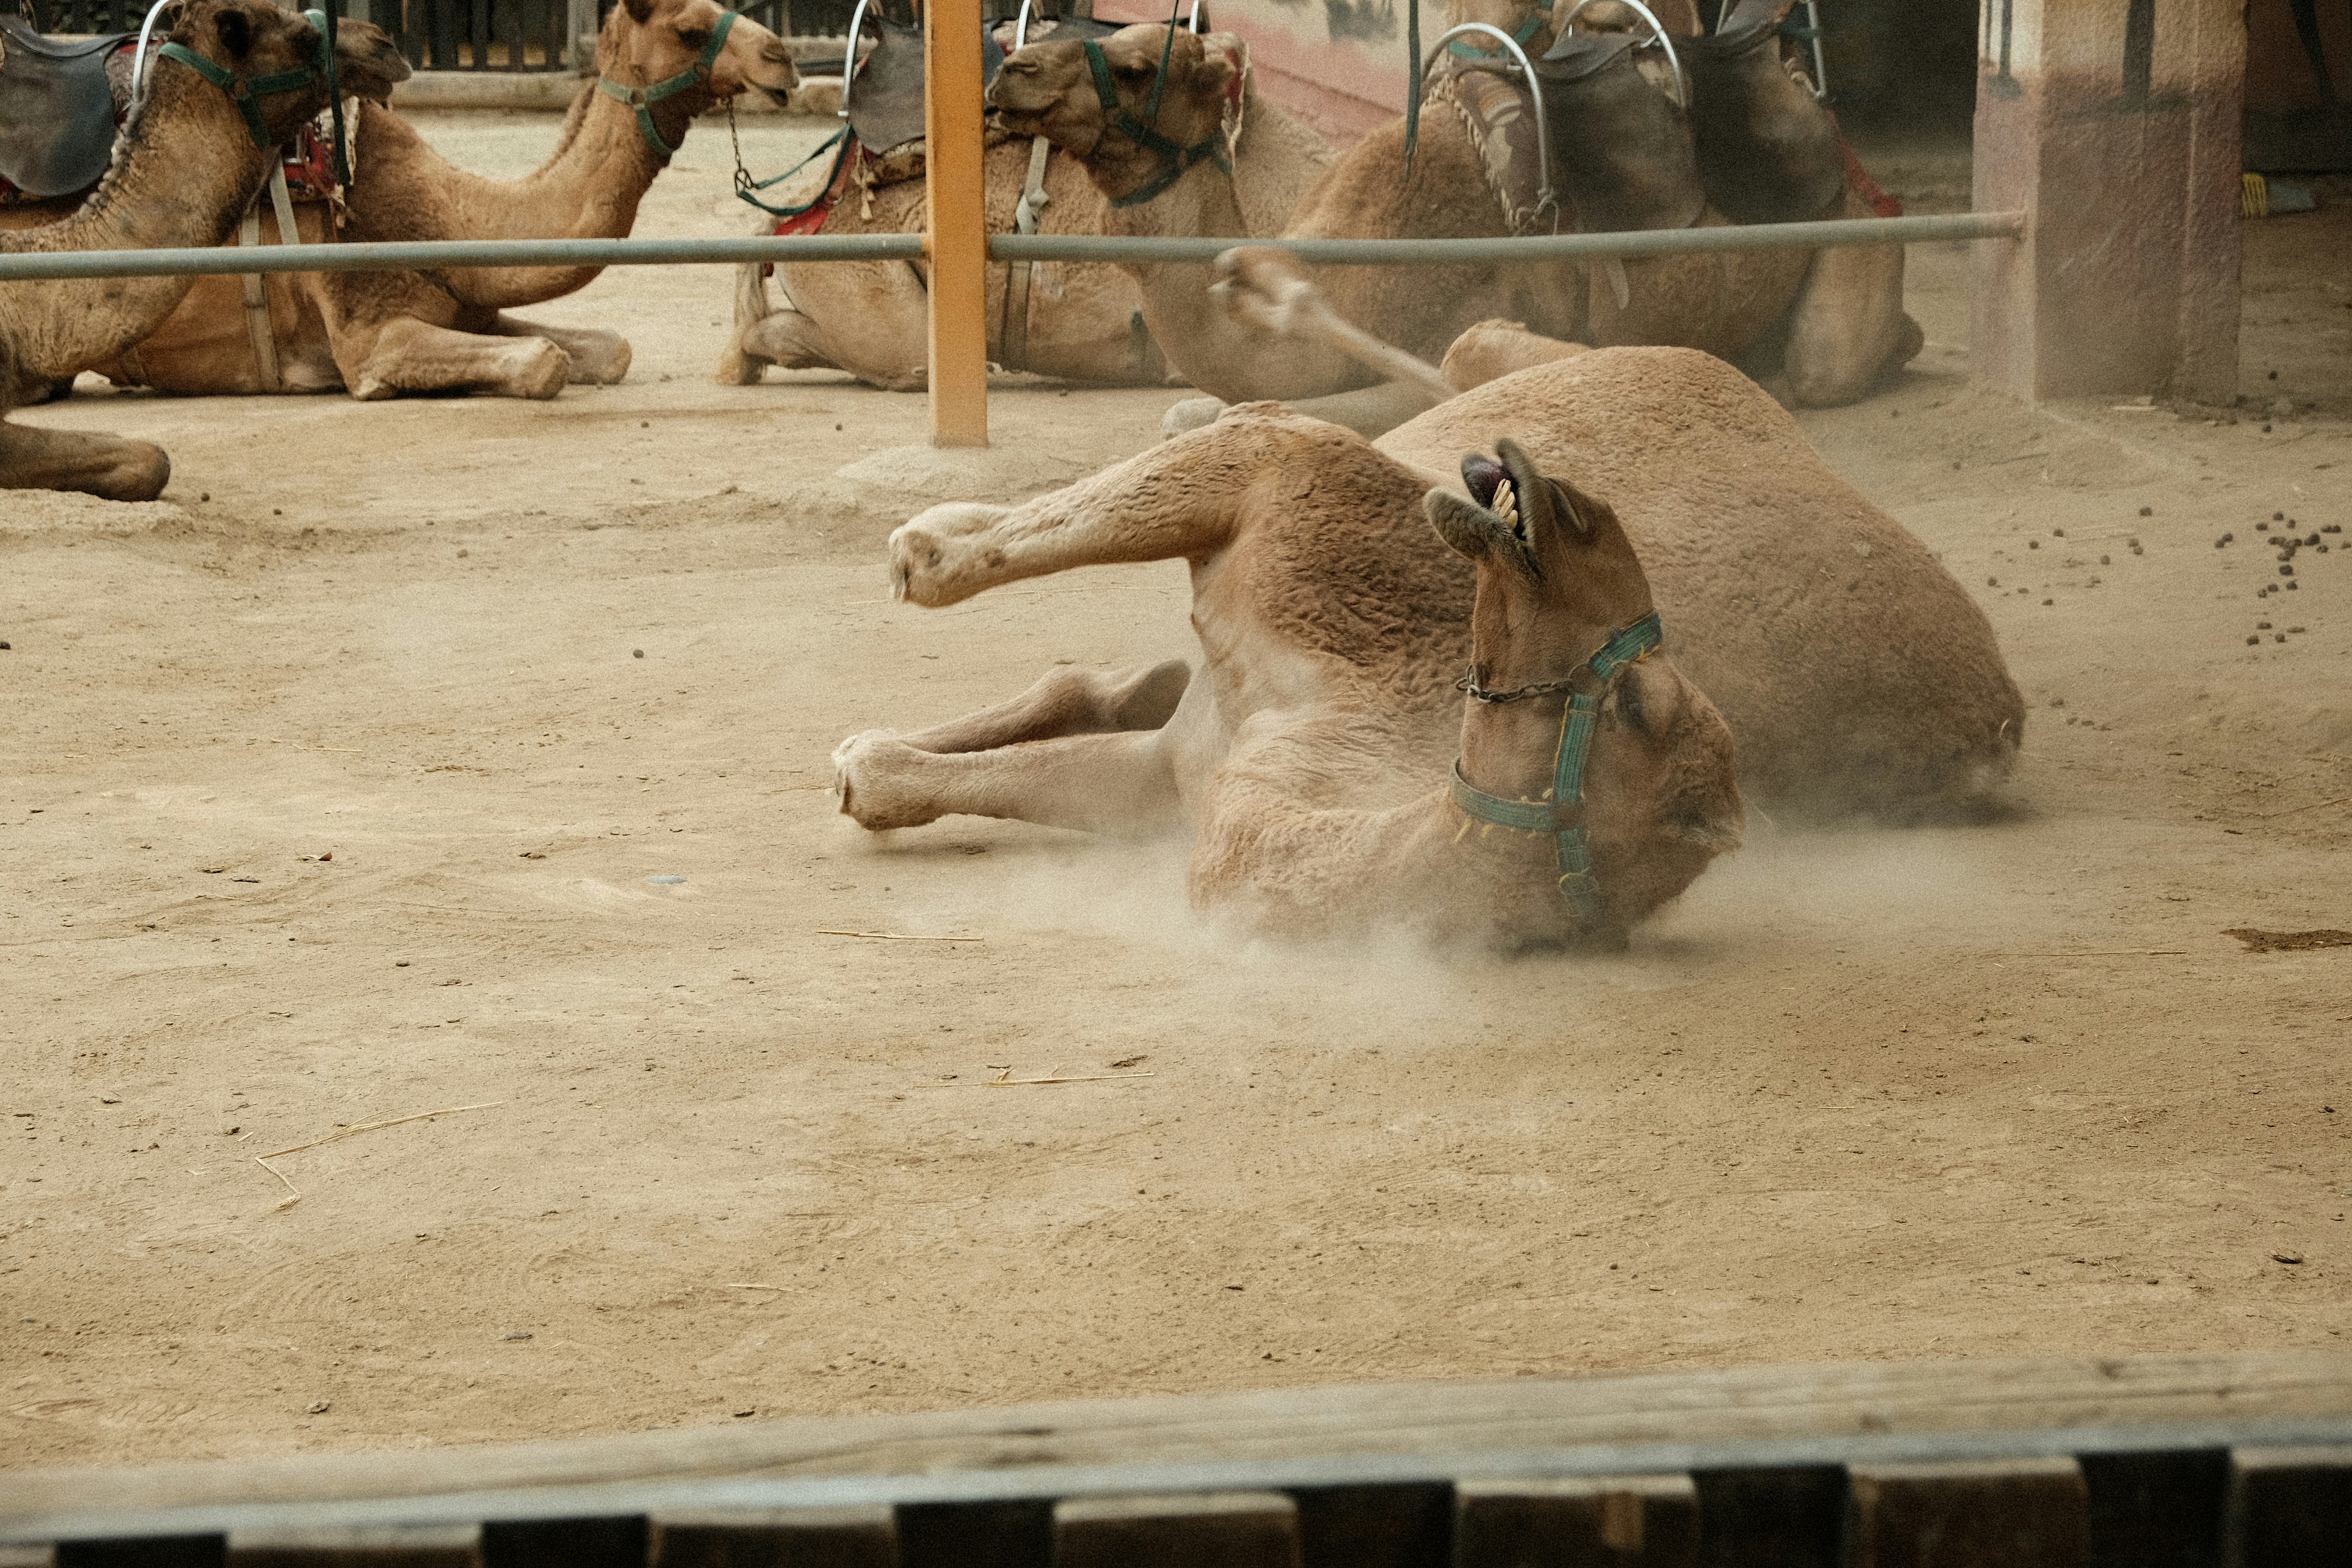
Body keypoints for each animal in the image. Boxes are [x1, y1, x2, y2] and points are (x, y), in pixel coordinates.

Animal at [12, 0, 798, 400]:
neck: (447, 213)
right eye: (690, 29)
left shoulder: (469, 301)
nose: (784, 58)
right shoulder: (369, 335)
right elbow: (543, 363)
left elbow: (610, 349)